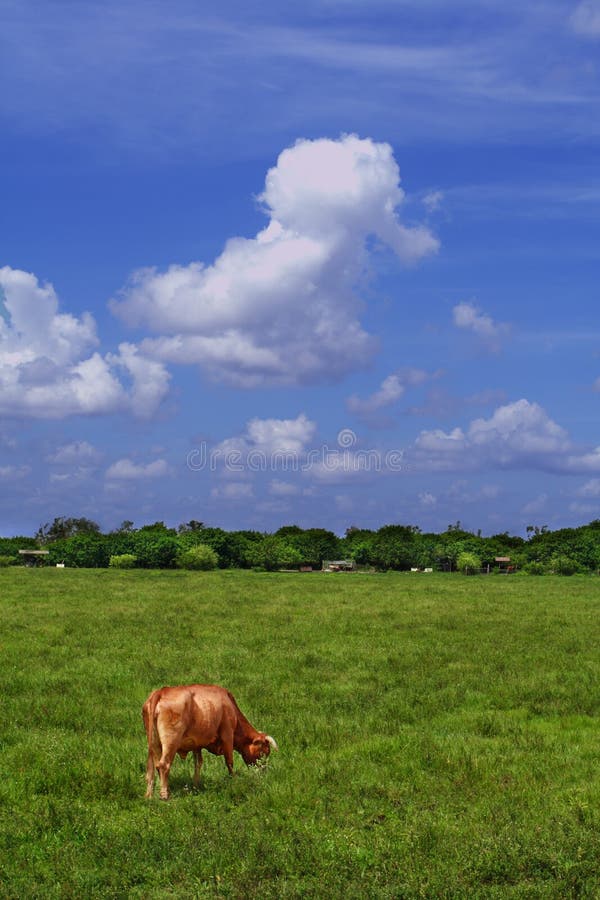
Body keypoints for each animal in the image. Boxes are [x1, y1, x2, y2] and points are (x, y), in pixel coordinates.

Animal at [142, 683, 278, 799]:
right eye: (263, 752)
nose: (263, 773)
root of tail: (161, 691)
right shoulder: (227, 734)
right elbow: (229, 761)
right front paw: (234, 781)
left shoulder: (196, 743)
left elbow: (198, 763)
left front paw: (196, 786)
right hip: (171, 741)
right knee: (163, 765)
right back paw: (165, 795)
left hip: (153, 743)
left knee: (151, 768)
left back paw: (149, 795)